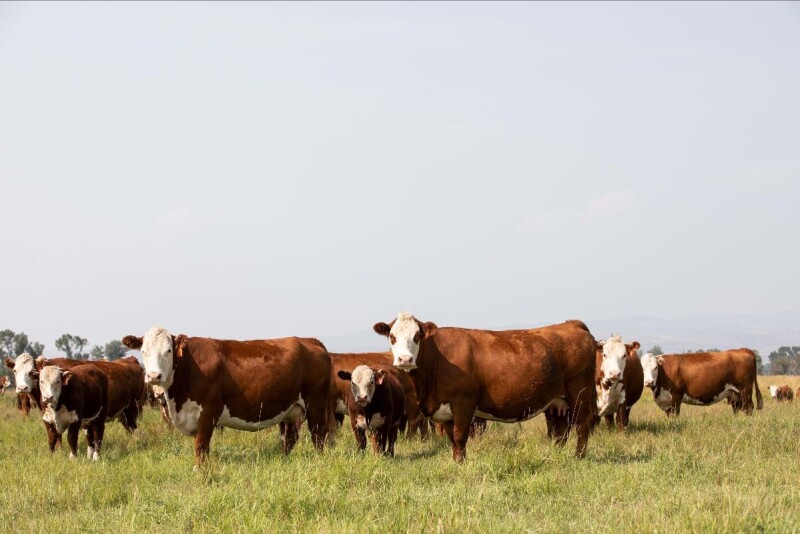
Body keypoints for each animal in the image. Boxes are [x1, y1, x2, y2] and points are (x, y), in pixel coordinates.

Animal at [121, 325, 334, 467]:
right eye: (143, 351)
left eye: (168, 350)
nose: (153, 376)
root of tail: (309, 340)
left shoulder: (208, 411)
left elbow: (201, 445)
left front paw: (201, 472)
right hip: (291, 409)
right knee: (290, 437)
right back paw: (283, 461)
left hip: (315, 404)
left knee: (318, 434)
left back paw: (318, 460)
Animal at [373, 313, 597, 461]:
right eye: (392, 337)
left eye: (417, 336)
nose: (405, 359)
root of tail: (572, 325)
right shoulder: (445, 410)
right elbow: (452, 440)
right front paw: (456, 462)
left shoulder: (463, 402)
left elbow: (459, 437)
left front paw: (462, 465)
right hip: (557, 400)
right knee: (561, 428)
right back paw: (558, 455)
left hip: (580, 392)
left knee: (581, 424)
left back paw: (578, 457)